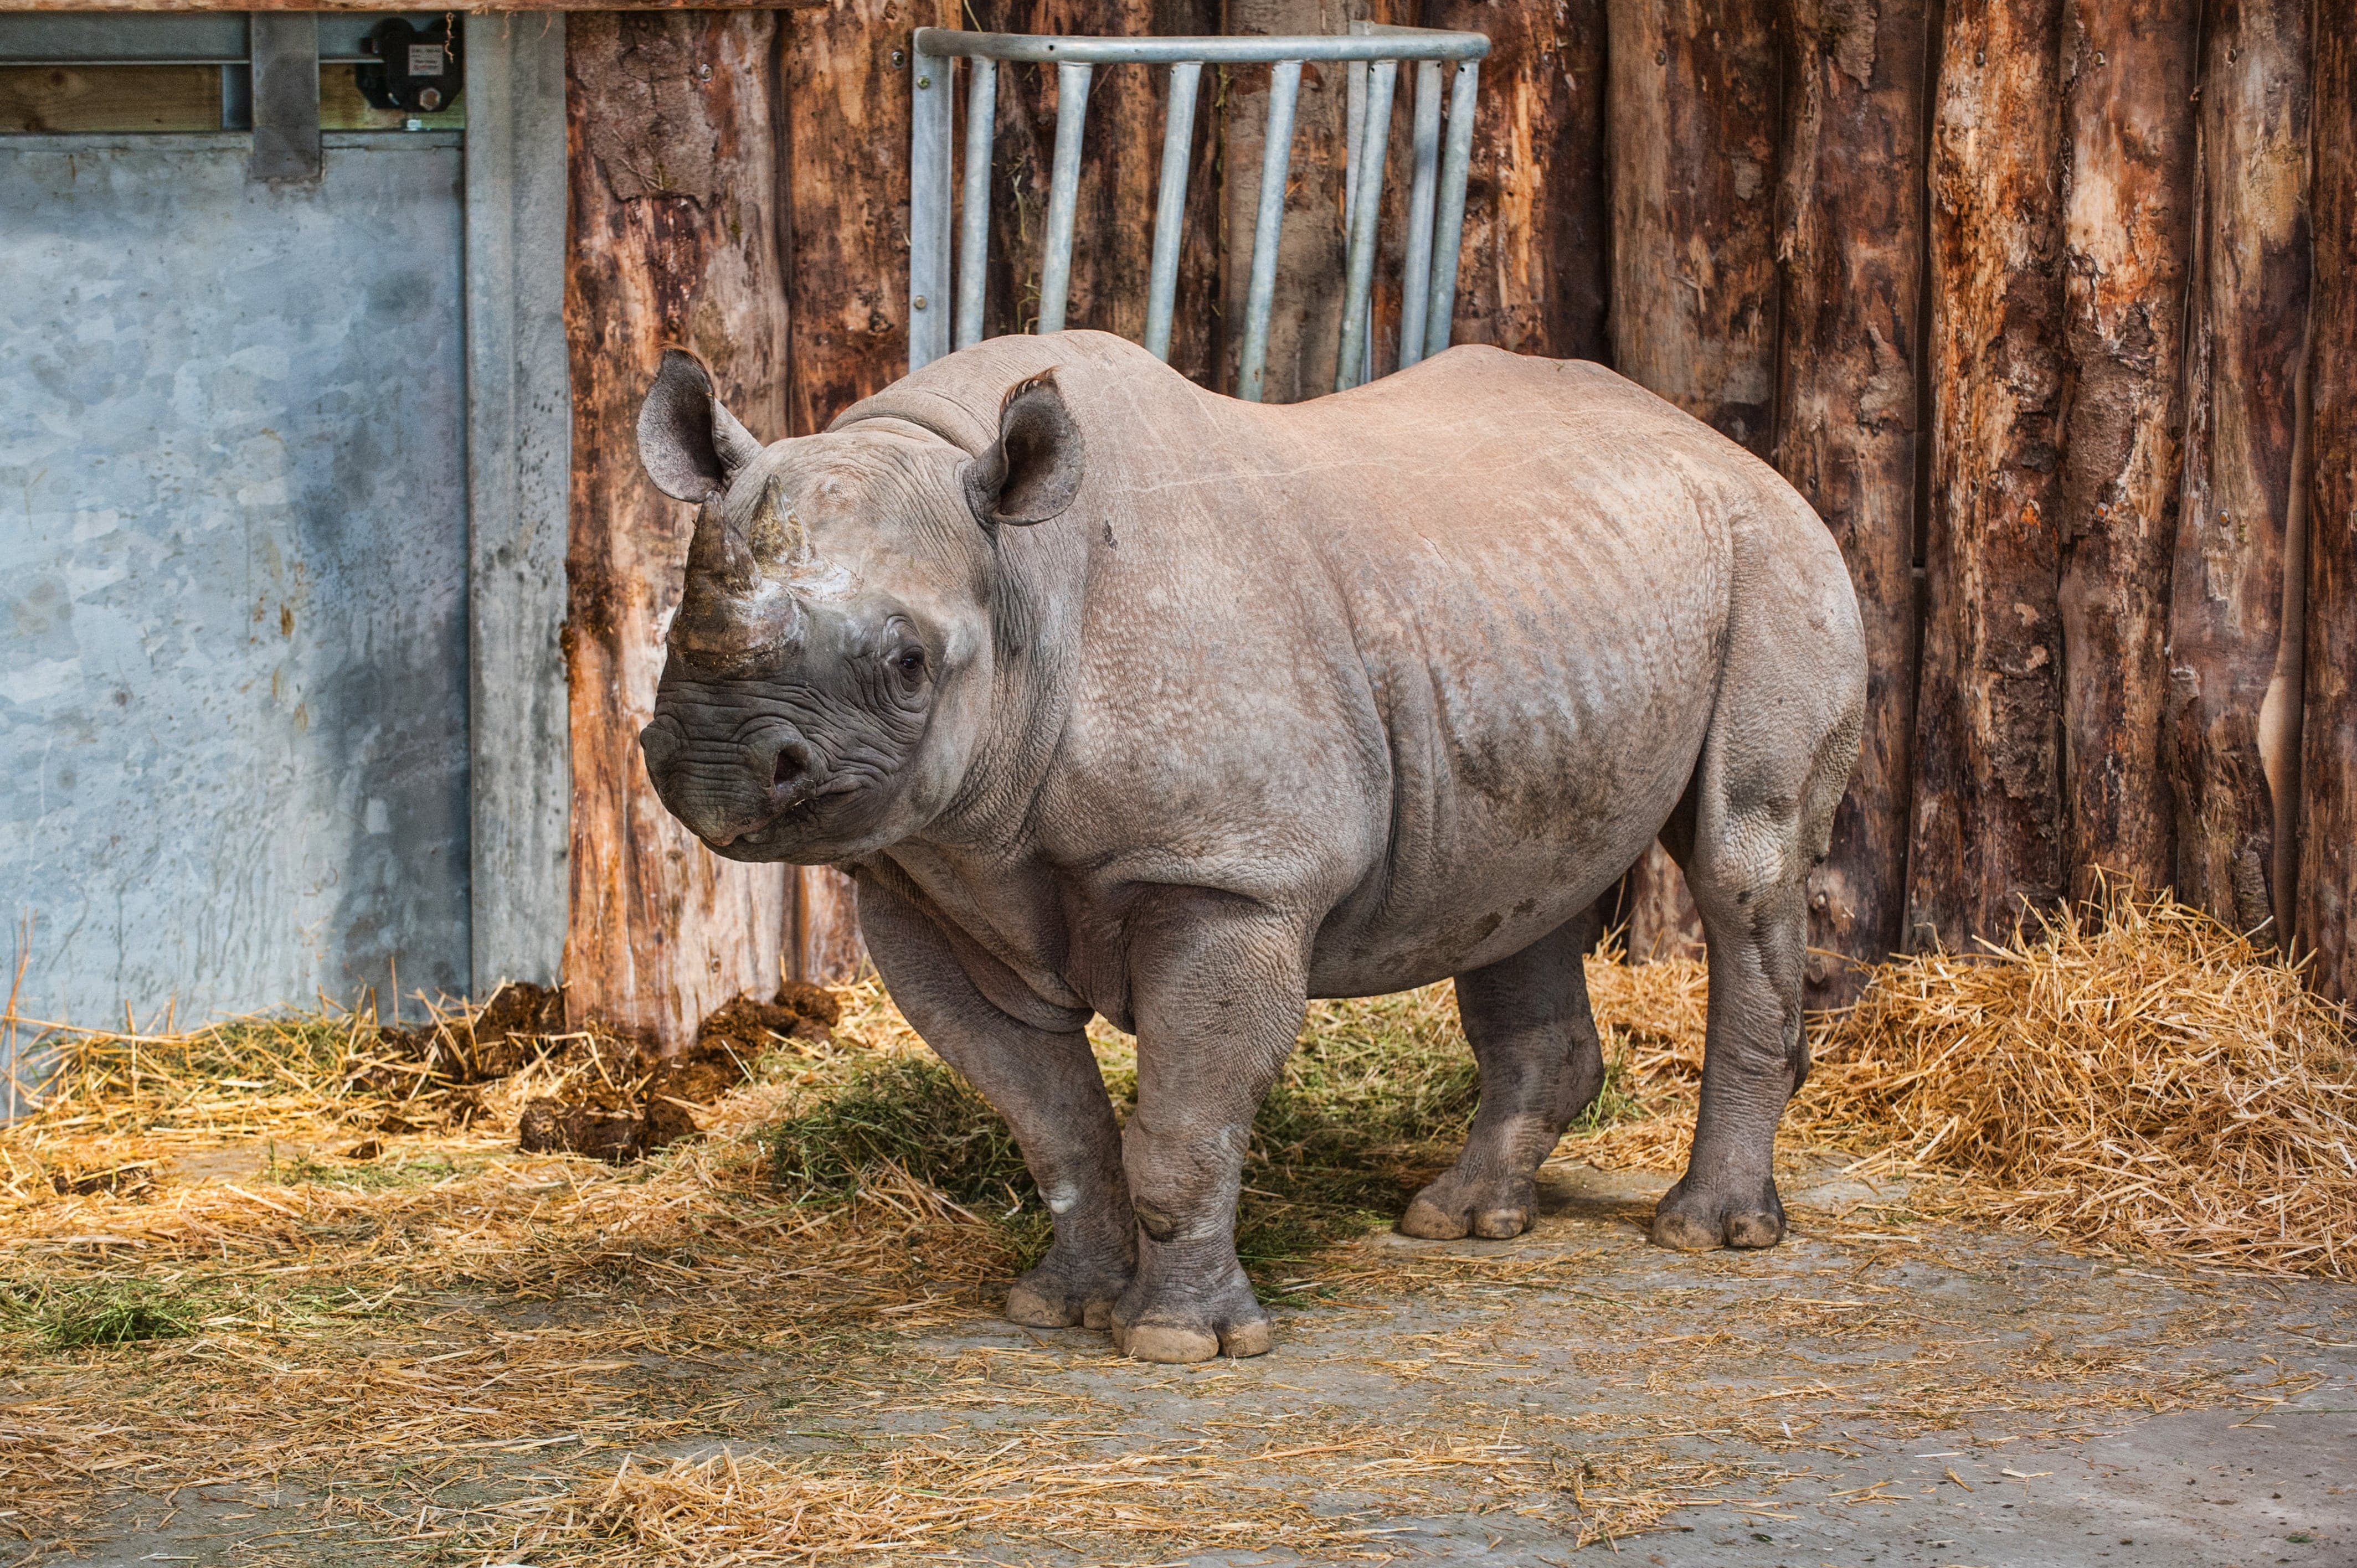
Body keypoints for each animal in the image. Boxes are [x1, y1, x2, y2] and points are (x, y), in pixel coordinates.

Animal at [635, 330, 1866, 1363]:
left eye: (906, 664)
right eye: (673, 631)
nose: (718, 763)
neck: (1016, 577)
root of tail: (1715, 440)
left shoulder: (1230, 876)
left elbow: (1182, 1130)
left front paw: (1176, 1343)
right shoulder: (927, 887)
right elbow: (1054, 1124)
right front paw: (1059, 1306)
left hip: (1776, 555)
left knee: (1742, 867)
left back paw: (1706, 1233)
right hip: (1539, 597)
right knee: (1521, 884)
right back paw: (1460, 1220)